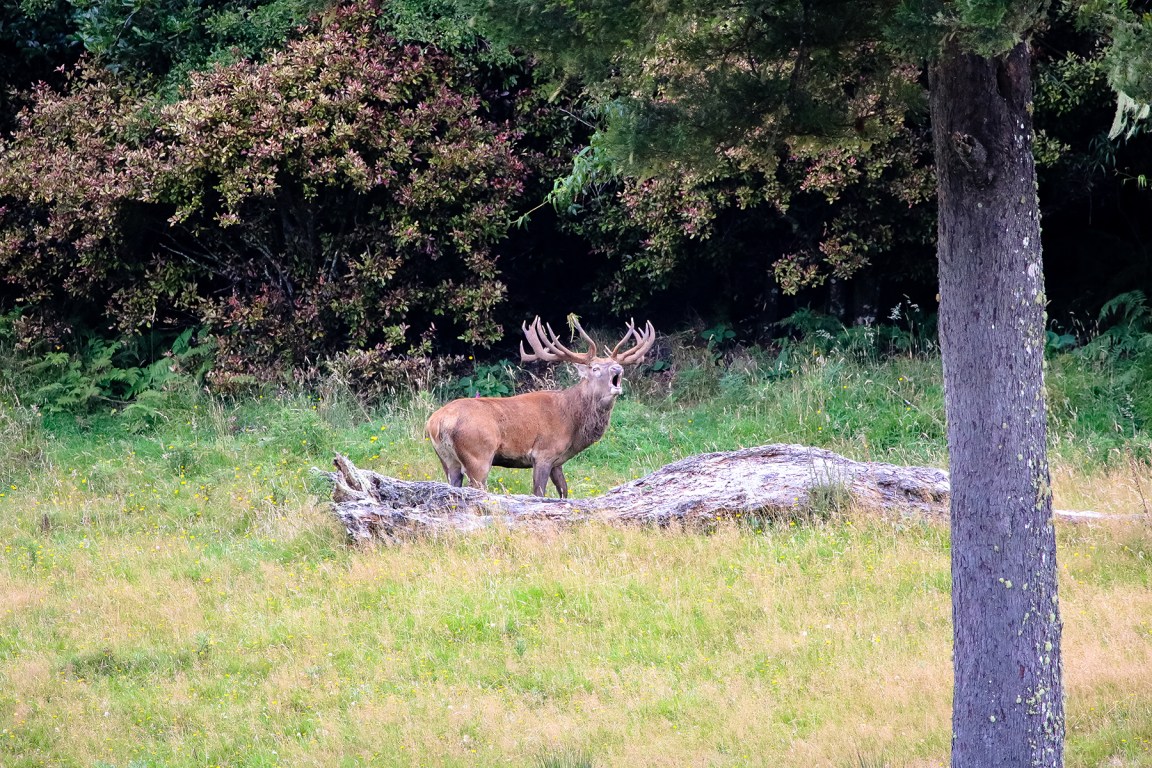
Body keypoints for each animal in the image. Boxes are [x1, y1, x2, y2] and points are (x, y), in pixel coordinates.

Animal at [425, 316, 656, 498]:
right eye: (595, 368)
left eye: (616, 365)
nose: (618, 369)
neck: (572, 421)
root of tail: (436, 423)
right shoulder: (544, 452)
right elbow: (539, 492)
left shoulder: (557, 461)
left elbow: (564, 491)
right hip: (478, 453)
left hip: (446, 459)